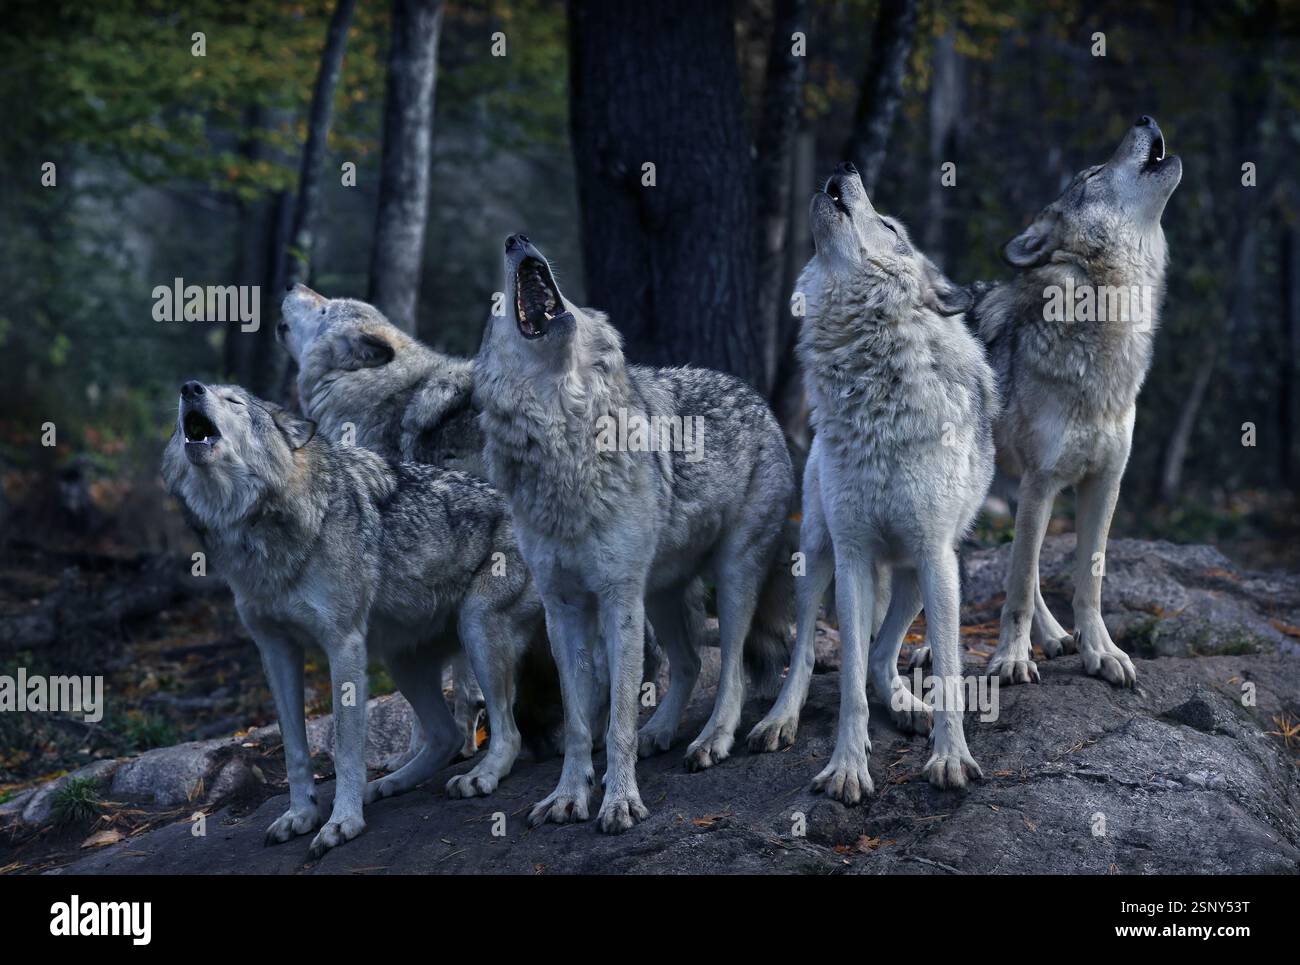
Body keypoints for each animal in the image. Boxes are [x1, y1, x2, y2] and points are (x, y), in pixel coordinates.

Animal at [161, 381, 542, 856]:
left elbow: (345, 747)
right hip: (402, 661)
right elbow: (295, 749)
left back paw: (480, 776)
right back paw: (389, 784)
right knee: (446, 735)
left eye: (234, 401)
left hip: (476, 628)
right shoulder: (275, 651)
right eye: (199, 393)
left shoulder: (342, 645)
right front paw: (300, 815)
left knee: (506, 732)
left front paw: (342, 822)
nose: (189, 388)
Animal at [474, 234, 795, 833]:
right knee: (690, 664)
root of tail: (753, 392)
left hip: (732, 578)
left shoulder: (617, 599)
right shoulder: (564, 610)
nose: (514, 239)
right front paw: (568, 796)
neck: (567, 439)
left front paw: (620, 799)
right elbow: (581, 724)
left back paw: (711, 740)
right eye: (496, 308)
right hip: (662, 595)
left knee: (733, 670)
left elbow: (617, 717)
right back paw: (661, 732)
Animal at [748, 163, 997, 799]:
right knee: (809, 653)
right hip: (817, 553)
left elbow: (948, 671)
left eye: (887, 226)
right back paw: (780, 720)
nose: (845, 168)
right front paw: (846, 767)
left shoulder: (935, 557)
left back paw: (909, 708)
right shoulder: (855, 554)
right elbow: (848, 683)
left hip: (917, 573)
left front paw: (950, 758)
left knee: (886, 655)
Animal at [974, 116, 1181, 688]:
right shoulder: (1044, 481)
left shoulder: (1103, 482)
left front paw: (1102, 653)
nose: (1144, 118)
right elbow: (1020, 586)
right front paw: (1010, 659)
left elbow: (1087, 583)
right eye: (1091, 174)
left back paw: (1056, 639)